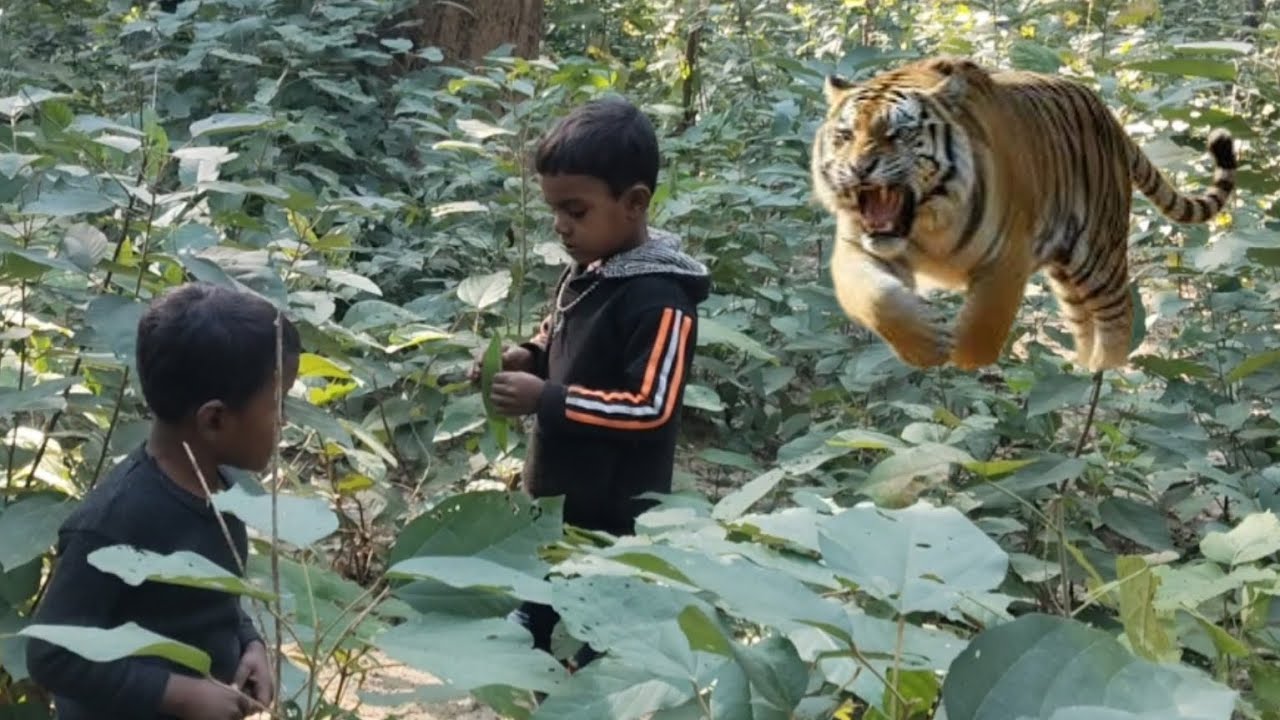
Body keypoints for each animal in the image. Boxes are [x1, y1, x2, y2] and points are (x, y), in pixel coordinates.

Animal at [810, 55, 1237, 372]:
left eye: (897, 134)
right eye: (844, 136)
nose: (858, 168)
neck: (928, 221)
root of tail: (1108, 114)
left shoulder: (1007, 252)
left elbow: (988, 317)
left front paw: (965, 358)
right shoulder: (856, 247)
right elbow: (877, 299)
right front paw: (926, 345)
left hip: (1099, 256)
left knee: (1119, 316)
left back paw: (1108, 375)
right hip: (1067, 274)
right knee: (1085, 325)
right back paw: (1083, 369)